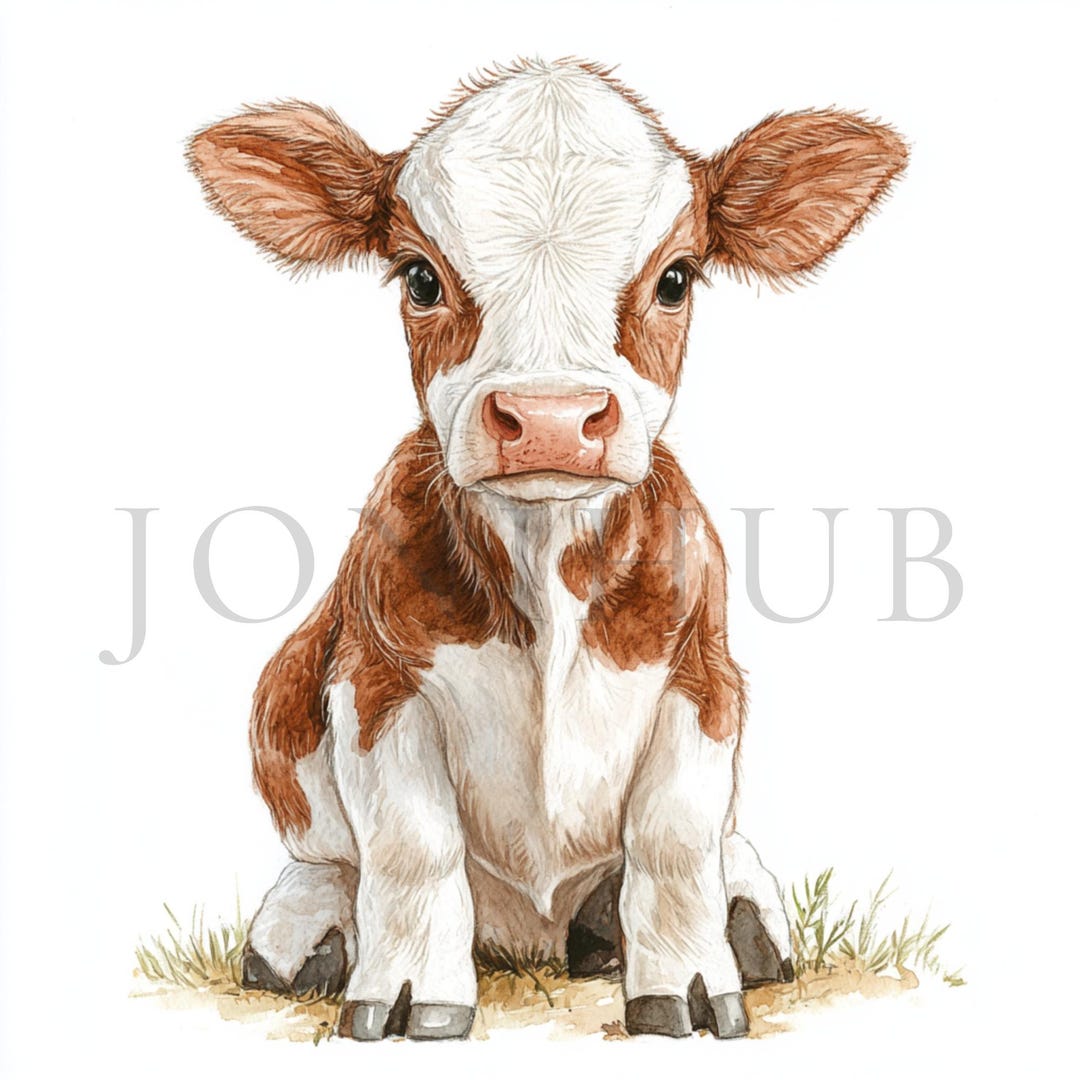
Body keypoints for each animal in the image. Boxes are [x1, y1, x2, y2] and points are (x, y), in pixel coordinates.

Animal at [187, 58, 906, 1042]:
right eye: (420, 277)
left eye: (677, 278)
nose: (553, 418)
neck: (546, 561)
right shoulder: (373, 681)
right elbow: (412, 844)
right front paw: (408, 993)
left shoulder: (706, 678)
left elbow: (675, 833)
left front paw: (685, 985)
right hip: (288, 682)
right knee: (328, 852)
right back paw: (309, 928)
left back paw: (740, 914)